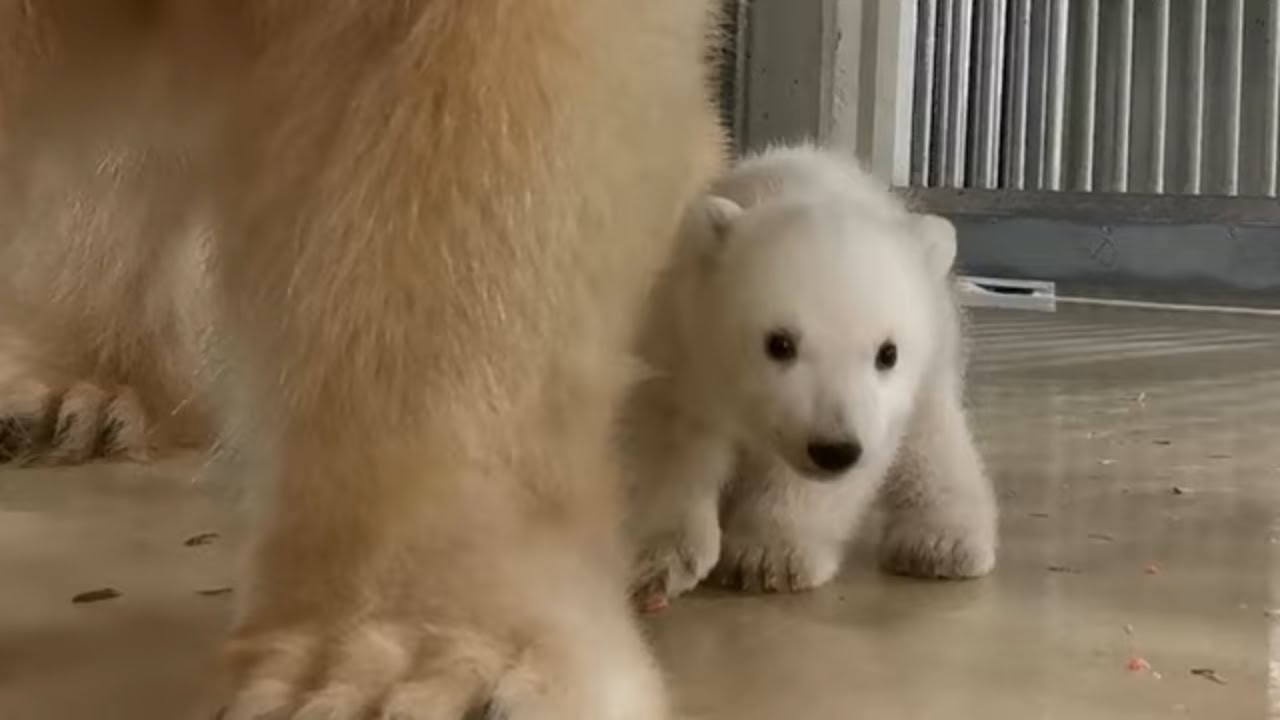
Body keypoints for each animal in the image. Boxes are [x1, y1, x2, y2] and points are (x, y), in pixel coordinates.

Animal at [624, 144, 998, 603]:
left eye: (888, 353)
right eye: (779, 343)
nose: (834, 450)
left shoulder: (878, 418)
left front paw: (769, 556)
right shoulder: (684, 345)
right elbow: (670, 442)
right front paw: (659, 560)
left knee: (933, 440)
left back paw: (943, 543)